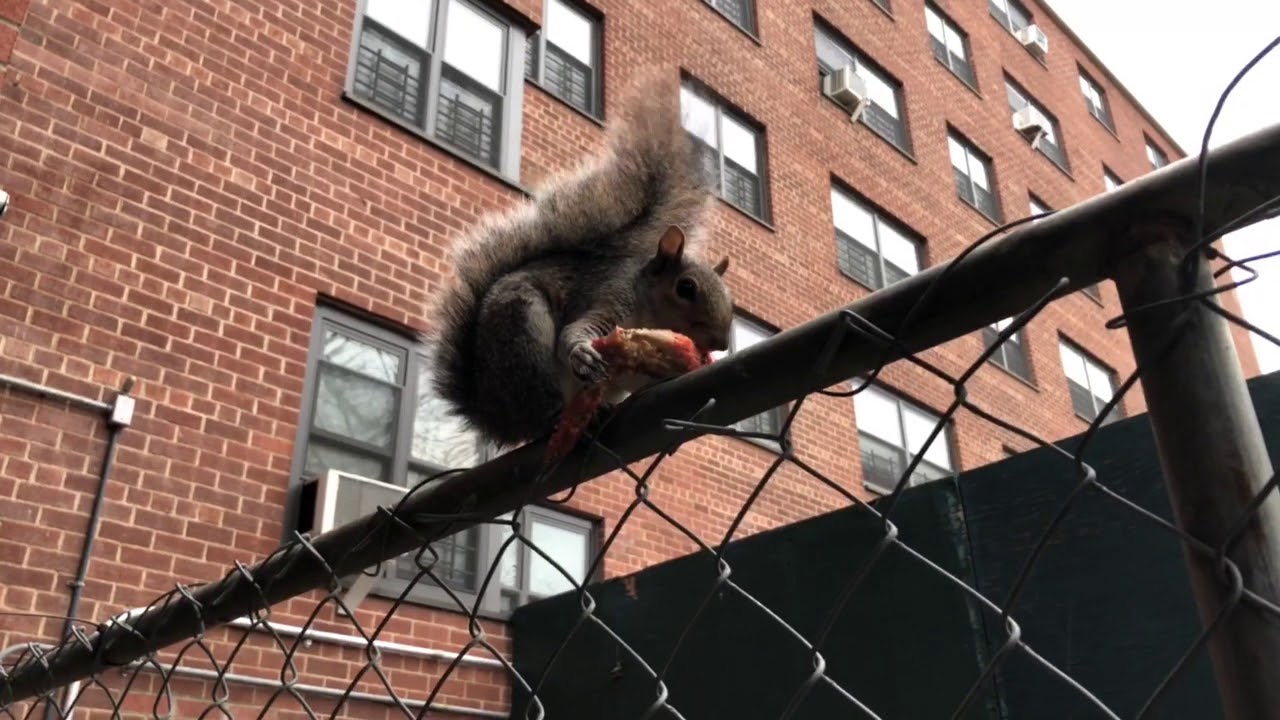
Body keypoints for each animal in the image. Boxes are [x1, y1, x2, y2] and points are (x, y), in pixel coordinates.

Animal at [426, 71, 735, 450]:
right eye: (686, 288)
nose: (721, 343)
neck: (649, 309)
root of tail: (496, 416)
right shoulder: (611, 296)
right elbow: (576, 331)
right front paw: (582, 351)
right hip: (523, 332)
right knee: (542, 407)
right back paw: (556, 416)